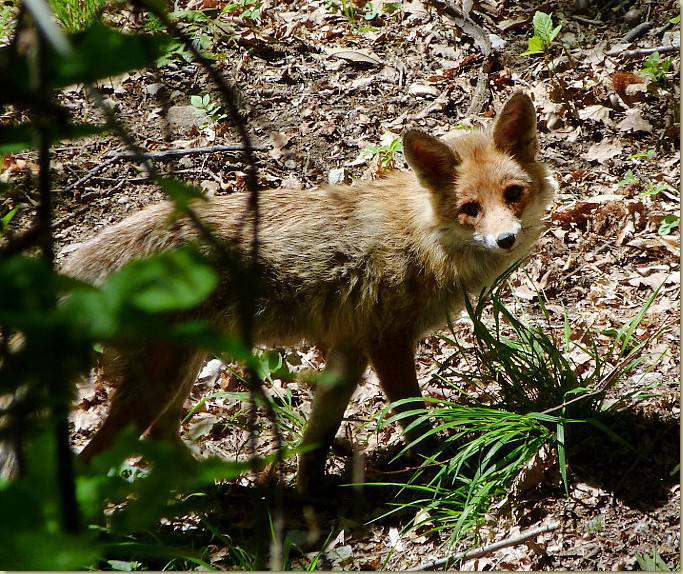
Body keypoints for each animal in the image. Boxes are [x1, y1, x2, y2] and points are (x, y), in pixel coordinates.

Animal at [61, 92, 555, 495]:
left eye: (513, 194)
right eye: (470, 209)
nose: (506, 239)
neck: (423, 240)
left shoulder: (350, 350)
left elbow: (317, 436)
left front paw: (309, 496)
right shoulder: (388, 342)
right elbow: (414, 421)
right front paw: (443, 472)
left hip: (181, 368)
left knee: (159, 437)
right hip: (157, 383)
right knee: (92, 461)